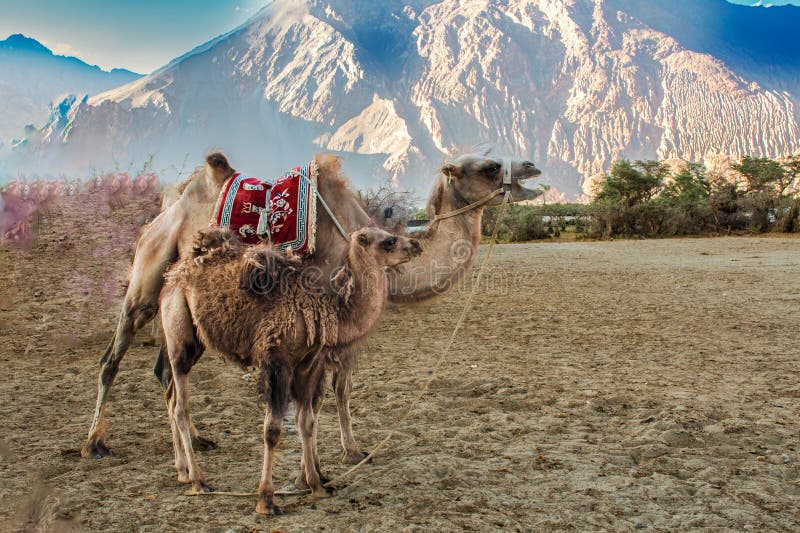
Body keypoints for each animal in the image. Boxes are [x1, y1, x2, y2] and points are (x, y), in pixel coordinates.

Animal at [82, 151, 542, 463]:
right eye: (488, 166)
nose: (532, 166)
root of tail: (165, 210)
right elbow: (323, 393)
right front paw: (339, 456)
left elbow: (343, 387)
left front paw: (350, 450)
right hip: (146, 279)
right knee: (112, 357)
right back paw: (95, 443)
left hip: (182, 305)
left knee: (167, 370)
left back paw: (195, 440)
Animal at [161, 226, 421, 514]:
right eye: (389, 241)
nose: (416, 244)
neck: (328, 309)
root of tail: (171, 275)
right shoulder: (278, 362)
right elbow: (273, 429)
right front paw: (266, 499)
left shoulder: (309, 365)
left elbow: (306, 422)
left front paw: (316, 485)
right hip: (178, 336)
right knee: (181, 406)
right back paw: (198, 480)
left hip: (196, 342)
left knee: (171, 398)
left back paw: (182, 472)